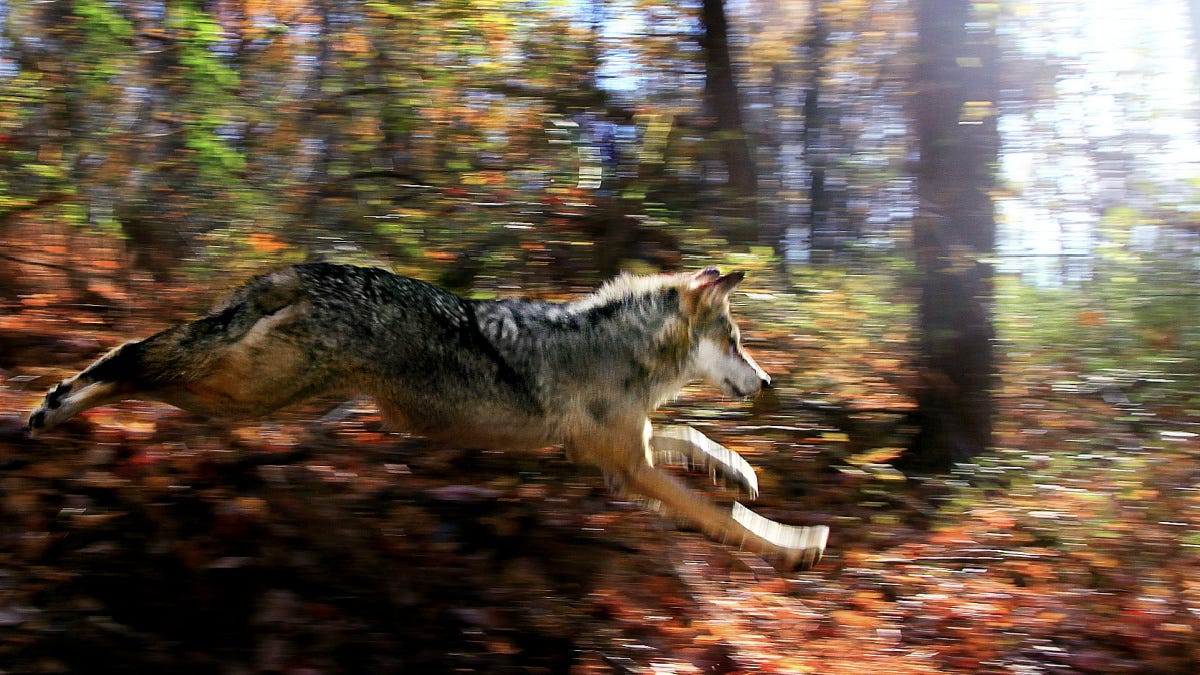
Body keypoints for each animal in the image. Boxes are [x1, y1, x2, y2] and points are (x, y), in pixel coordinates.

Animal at [27, 263, 828, 570]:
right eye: (735, 340)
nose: (766, 381)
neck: (613, 349)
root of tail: (304, 270)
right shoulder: (628, 468)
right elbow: (721, 518)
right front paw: (795, 545)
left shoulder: (619, 453)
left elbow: (696, 438)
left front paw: (745, 471)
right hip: (242, 395)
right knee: (133, 356)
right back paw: (53, 407)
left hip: (244, 388)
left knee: (145, 353)